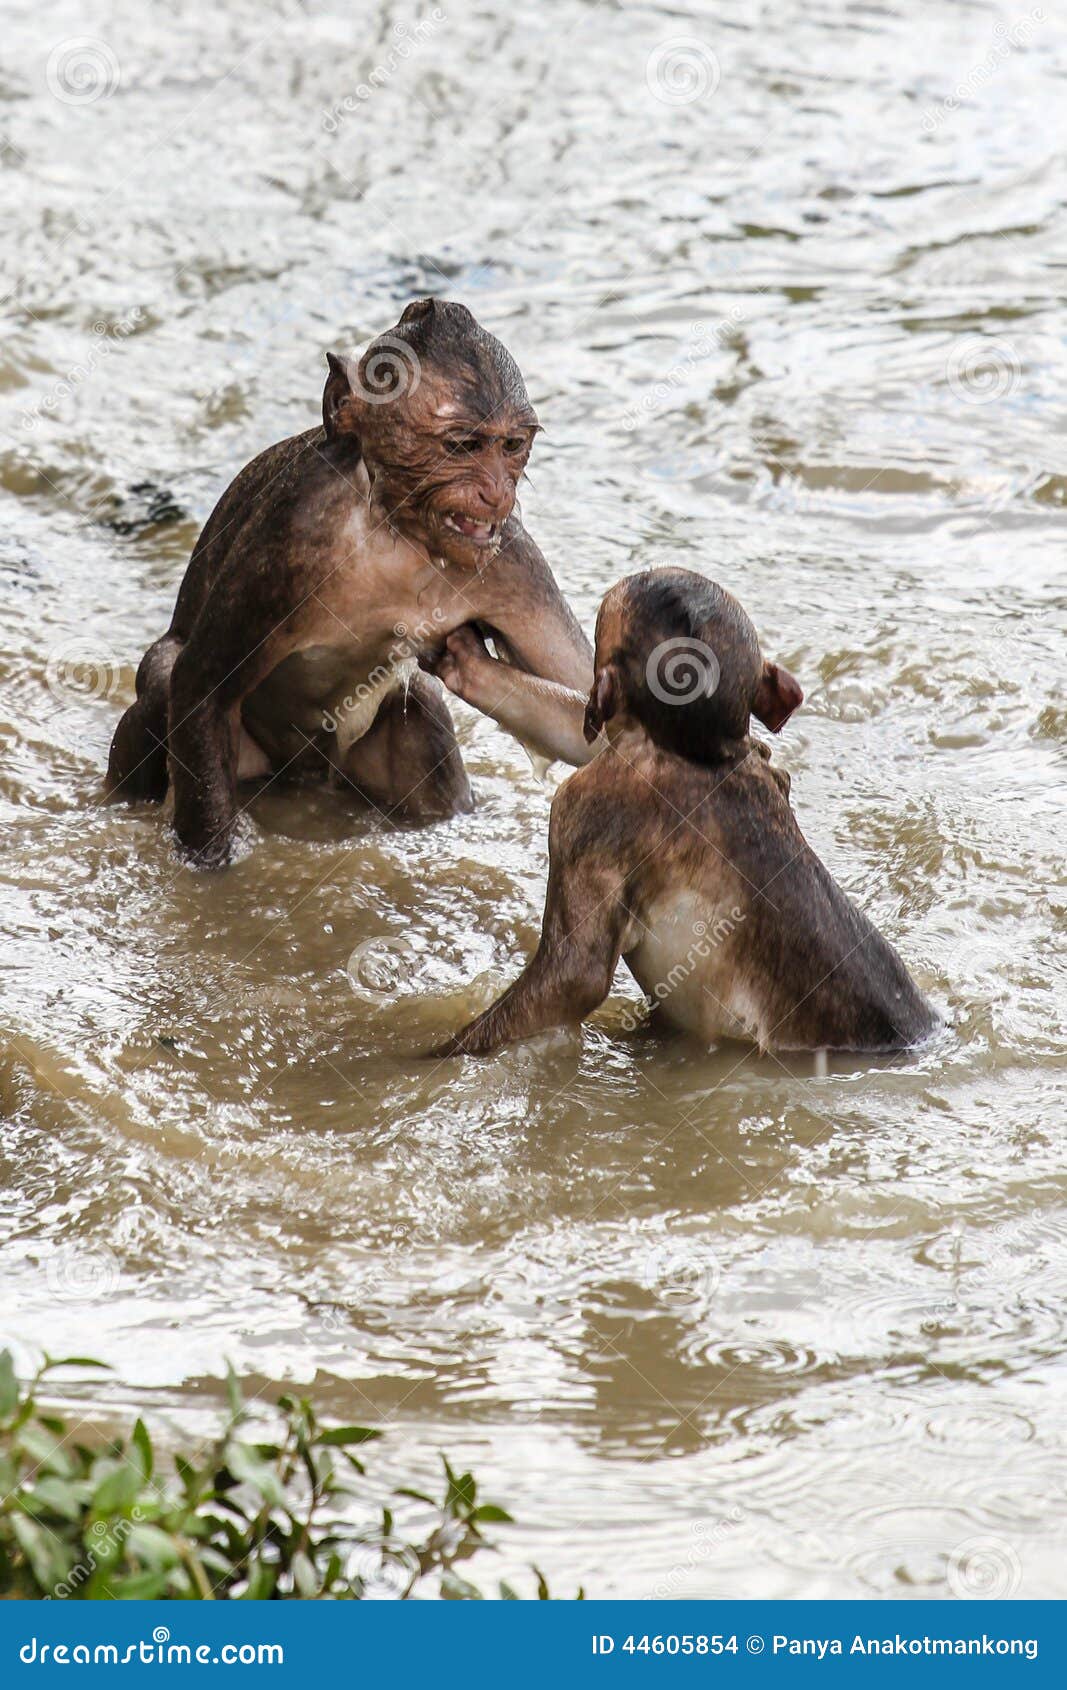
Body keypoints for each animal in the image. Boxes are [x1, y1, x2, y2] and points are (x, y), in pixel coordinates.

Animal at [105, 299, 591, 866]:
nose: (496, 492)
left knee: (418, 704)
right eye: (463, 445)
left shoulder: (512, 560)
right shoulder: (290, 532)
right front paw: (215, 872)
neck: (394, 526)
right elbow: (201, 688)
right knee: (165, 679)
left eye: (511, 445)